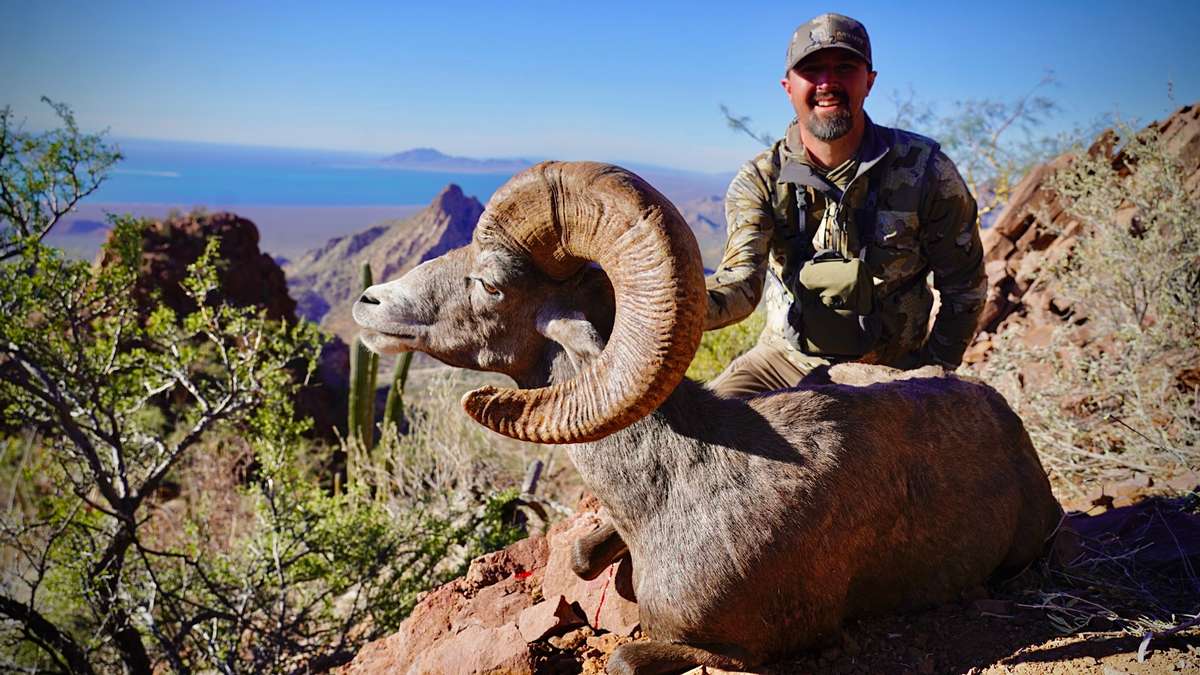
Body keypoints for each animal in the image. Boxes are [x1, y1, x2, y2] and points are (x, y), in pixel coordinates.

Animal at [352, 161, 1064, 674]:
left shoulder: (742, 649)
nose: (368, 303)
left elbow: (627, 660)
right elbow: (581, 556)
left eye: (492, 284)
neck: (677, 484)